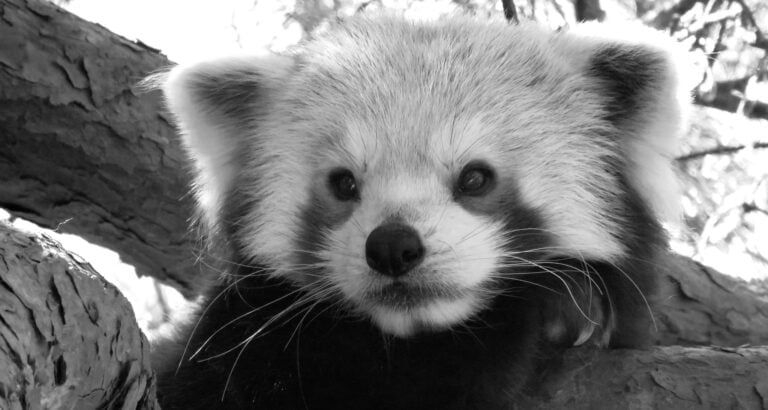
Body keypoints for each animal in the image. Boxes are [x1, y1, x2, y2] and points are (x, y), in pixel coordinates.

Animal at [152, 12, 689, 410]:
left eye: (475, 178)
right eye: (343, 183)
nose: (392, 247)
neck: (415, 335)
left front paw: (579, 294)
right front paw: (560, 296)